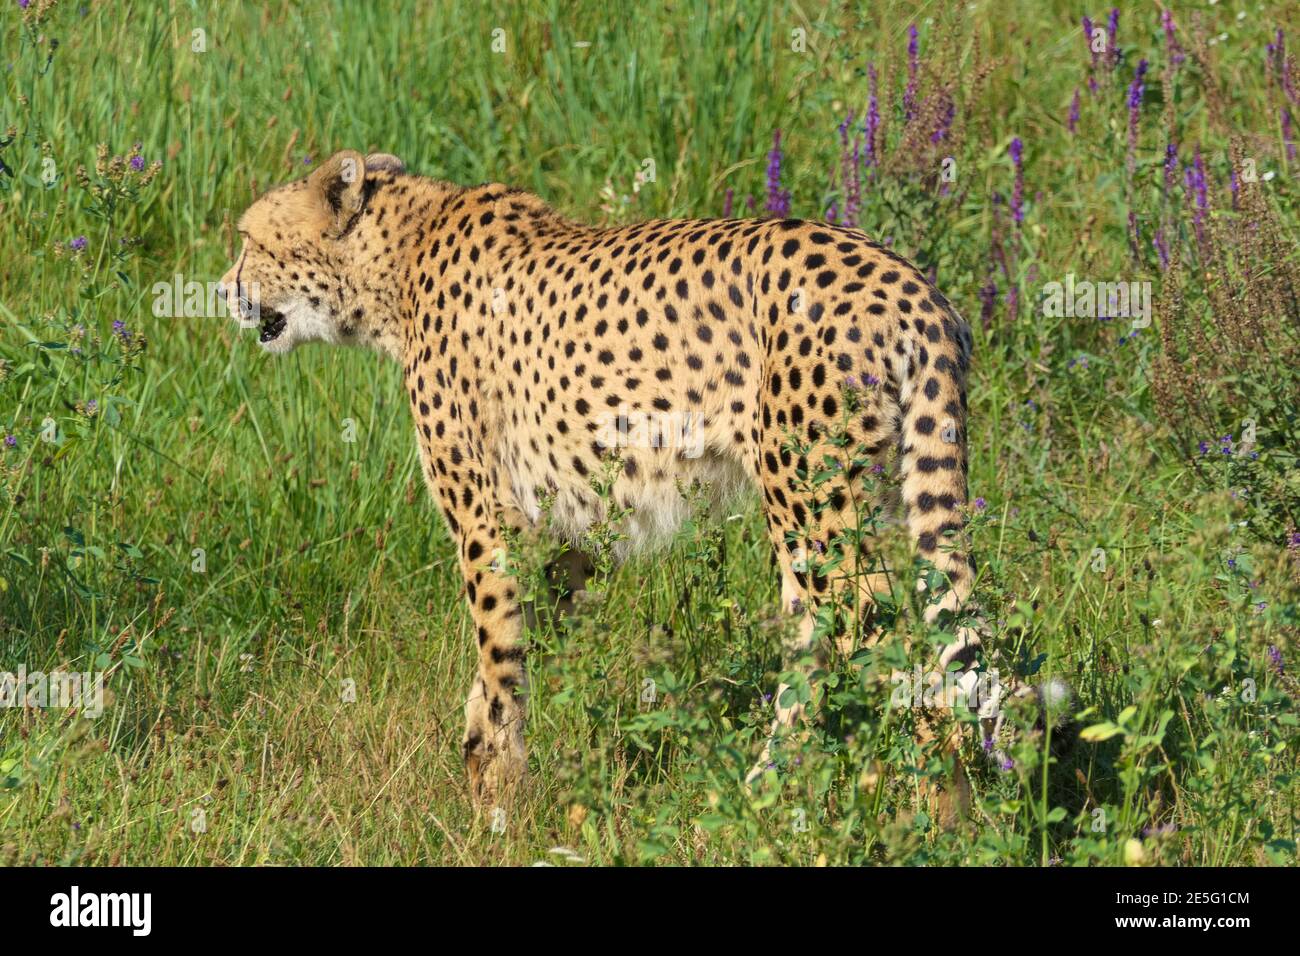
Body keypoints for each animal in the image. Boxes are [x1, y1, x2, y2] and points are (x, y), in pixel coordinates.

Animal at [219, 148, 1025, 812]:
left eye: (252, 240)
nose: (224, 290)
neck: (401, 259)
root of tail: (913, 284)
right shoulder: (566, 531)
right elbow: (532, 647)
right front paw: (494, 754)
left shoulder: (487, 519)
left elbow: (498, 649)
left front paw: (498, 800)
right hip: (861, 500)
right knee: (839, 640)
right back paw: (767, 795)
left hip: (817, 507)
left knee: (899, 653)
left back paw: (924, 816)